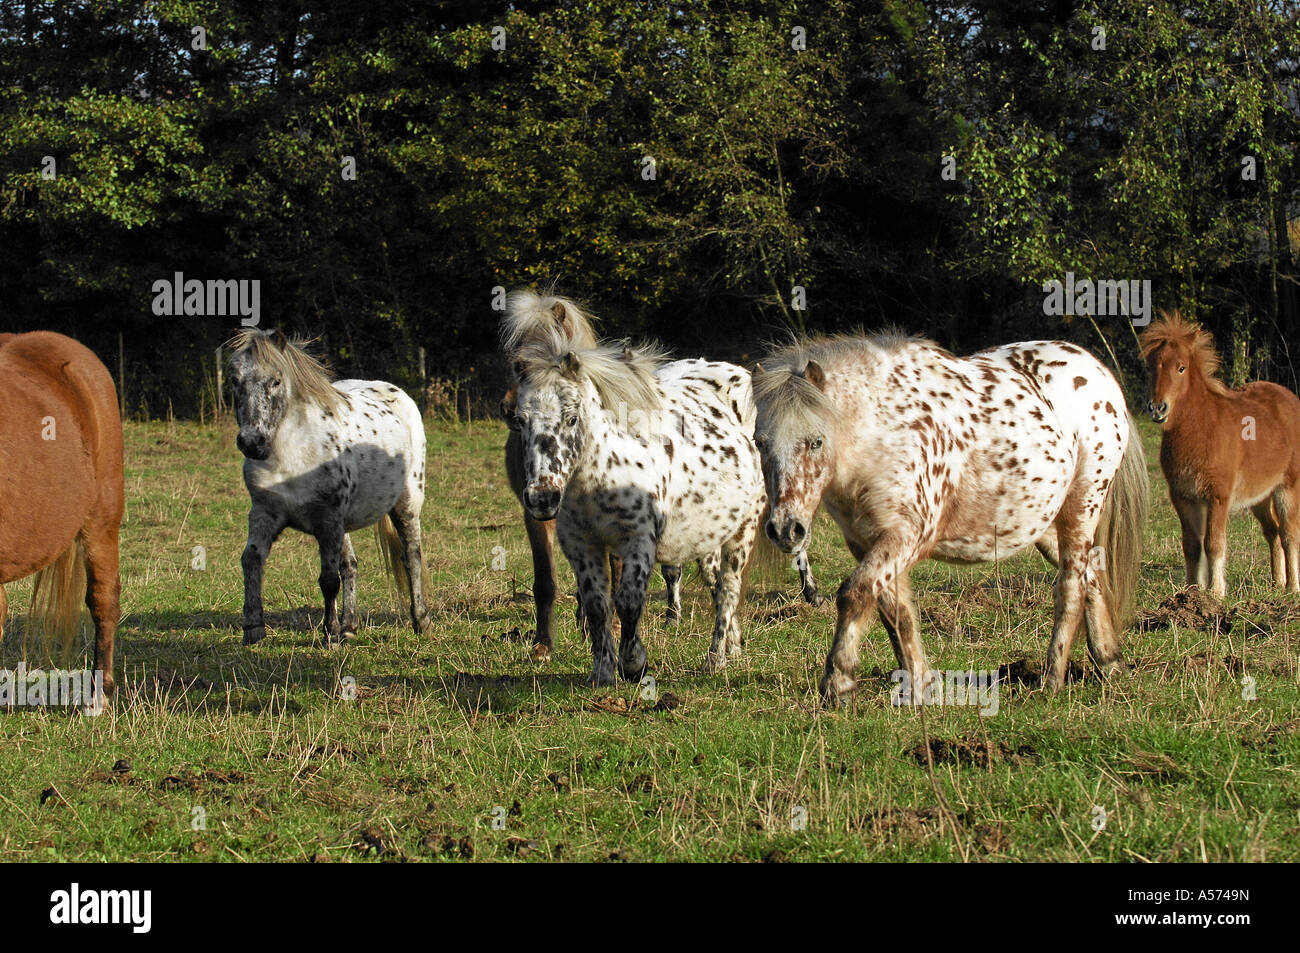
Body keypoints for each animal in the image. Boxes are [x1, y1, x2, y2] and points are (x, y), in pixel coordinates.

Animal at [228, 329, 431, 645]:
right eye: (234, 380)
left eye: (276, 381)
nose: (252, 442)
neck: (291, 458)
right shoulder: (264, 514)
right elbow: (251, 561)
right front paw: (253, 628)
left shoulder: (328, 520)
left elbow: (328, 579)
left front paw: (331, 633)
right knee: (351, 565)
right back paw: (350, 625)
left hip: (406, 503)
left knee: (411, 557)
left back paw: (420, 620)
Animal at [510, 326, 766, 684]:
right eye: (520, 420)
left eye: (572, 418)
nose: (542, 498)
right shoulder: (582, 546)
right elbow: (597, 605)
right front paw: (602, 673)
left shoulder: (638, 540)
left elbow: (629, 600)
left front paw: (633, 664)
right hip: (709, 539)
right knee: (716, 586)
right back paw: (733, 645)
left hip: (742, 532)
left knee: (729, 588)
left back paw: (715, 660)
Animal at [753, 332, 1149, 705]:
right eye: (760, 442)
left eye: (816, 441)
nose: (786, 529)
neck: (881, 432)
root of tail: (1099, 374)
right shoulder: (867, 542)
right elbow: (896, 612)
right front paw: (921, 687)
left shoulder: (906, 536)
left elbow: (856, 593)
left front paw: (839, 683)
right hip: (1048, 525)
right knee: (1090, 577)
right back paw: (1110, 662)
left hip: (1083, 507)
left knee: (1070, 587)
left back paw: (1051, 679)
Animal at [1139, 311, 1300, 597]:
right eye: (1150, 367)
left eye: (1181, 367)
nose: (1158, 408)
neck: (1201, 429)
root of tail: (1290, 399)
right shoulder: (1183, 496)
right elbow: (1191, 545)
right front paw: (1191, 592)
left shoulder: (1218, 496)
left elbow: (1213, 543)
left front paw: (1215, 592)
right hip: (1260, 496)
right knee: (1273, 531)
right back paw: (1277, 583)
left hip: (1287, 488)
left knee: (1290, 533)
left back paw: (1292, 588)